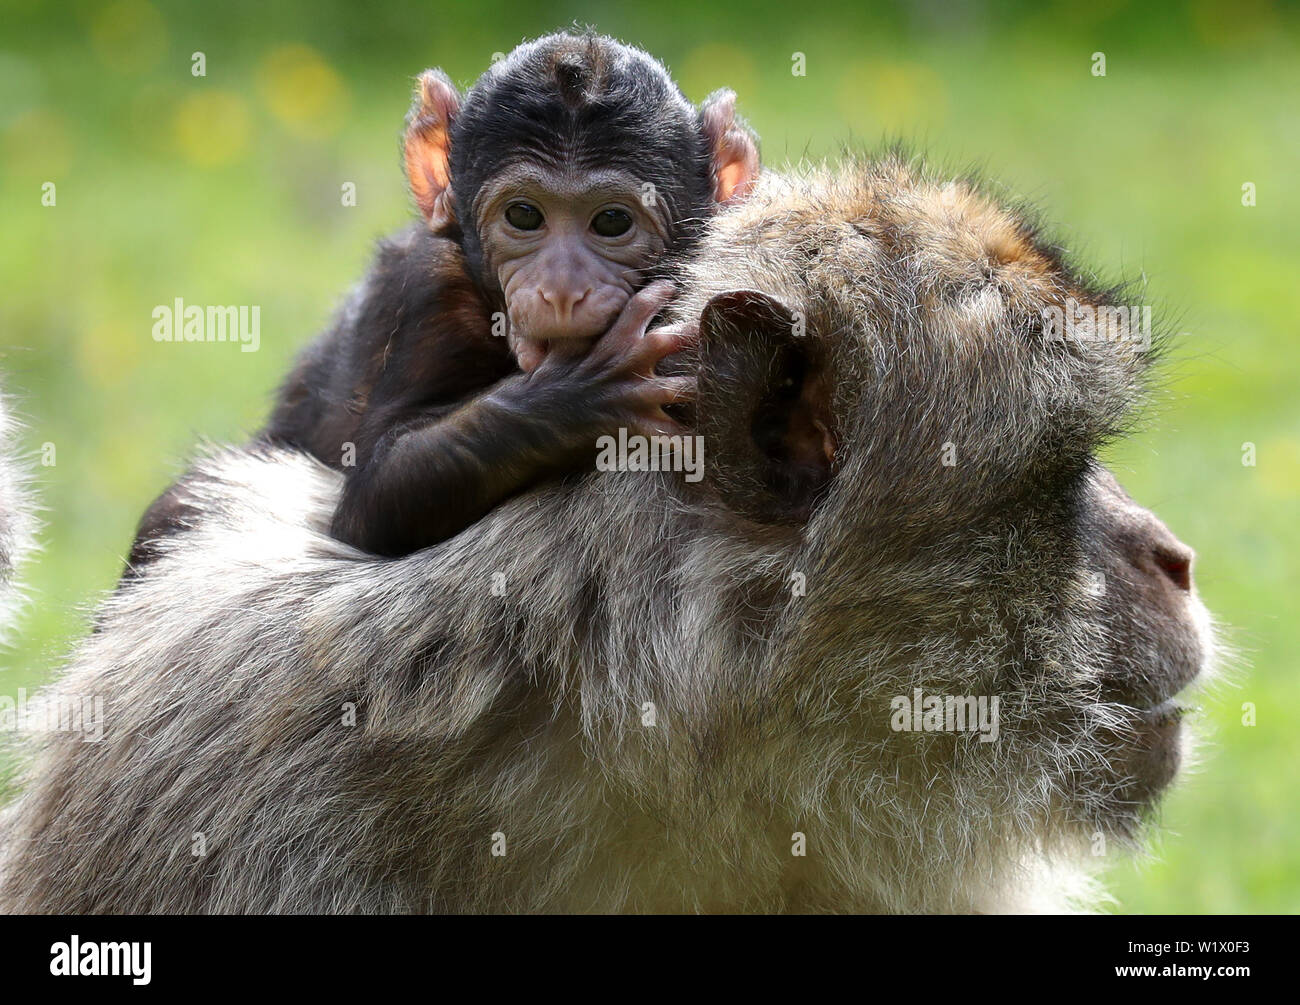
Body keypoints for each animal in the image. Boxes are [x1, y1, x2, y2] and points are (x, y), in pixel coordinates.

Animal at [124, 32, 759, 567]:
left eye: (611, 222)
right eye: (524, 215)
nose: (562, 286)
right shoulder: (432, 293)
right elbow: (378, 492)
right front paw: (585, 391)